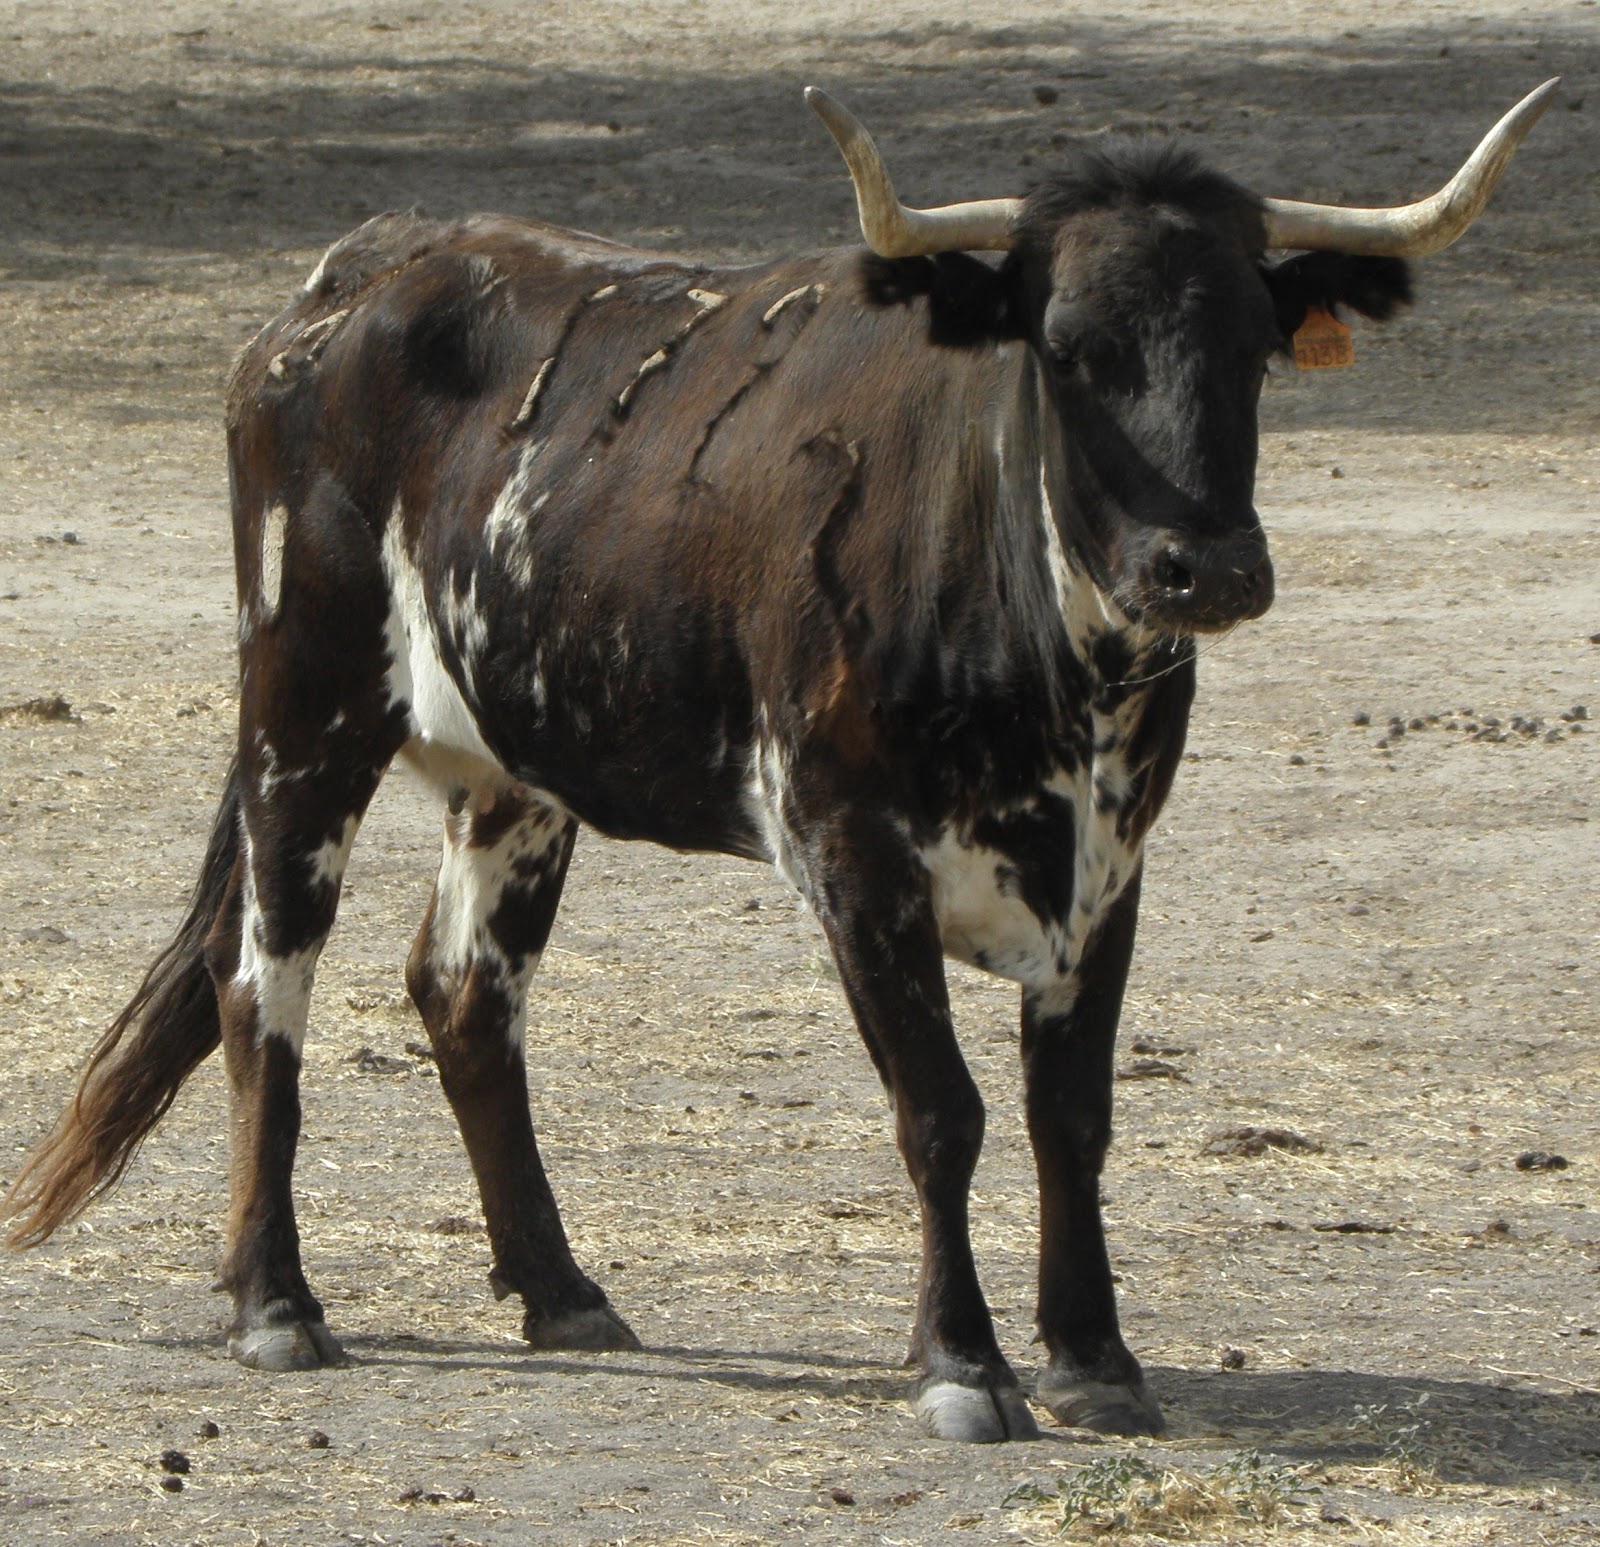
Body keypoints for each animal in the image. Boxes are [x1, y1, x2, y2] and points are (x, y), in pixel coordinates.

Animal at [4, 81, 1556, 1443]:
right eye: (1065, 345)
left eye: (1254, 343)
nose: (1207, 566)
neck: (1047, 671)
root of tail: (364, 266)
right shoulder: (851, 848)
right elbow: (942, 1110)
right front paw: (962, 1366)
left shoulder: (1112, 866)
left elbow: (1072, 1115)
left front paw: (1094, 1357)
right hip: (305, 705)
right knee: (263, 978)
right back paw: (274, 1298)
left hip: (515, 769)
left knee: (463, 992)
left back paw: (561, 1291)